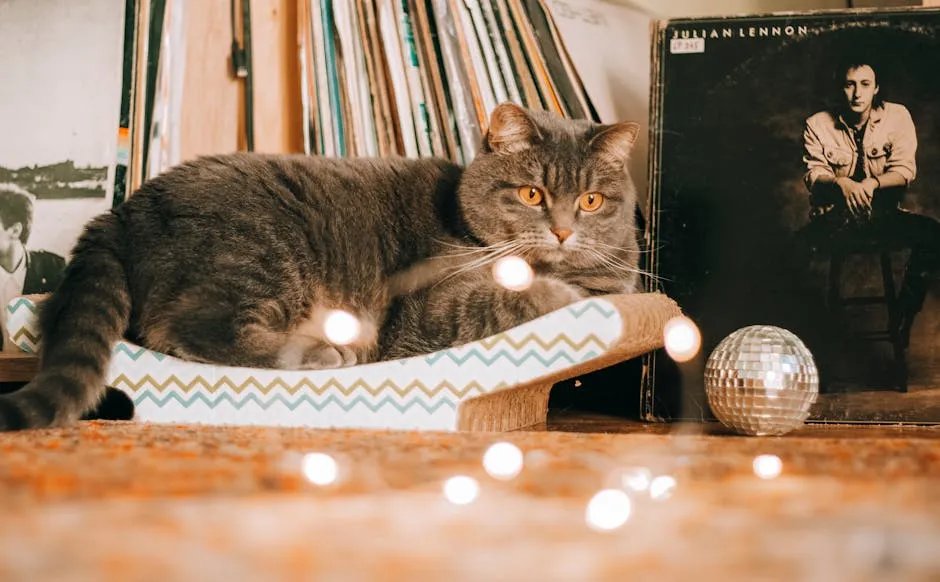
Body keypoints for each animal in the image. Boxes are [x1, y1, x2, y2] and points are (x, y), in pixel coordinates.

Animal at [0, 104, 644, 434]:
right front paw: (563, 294)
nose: (563, 230)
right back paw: (320, 351)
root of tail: (126, 208)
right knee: (191, 328)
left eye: (591, 201)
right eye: (533, 194)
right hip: (264, 253)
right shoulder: (427, 309)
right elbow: (508, 297)